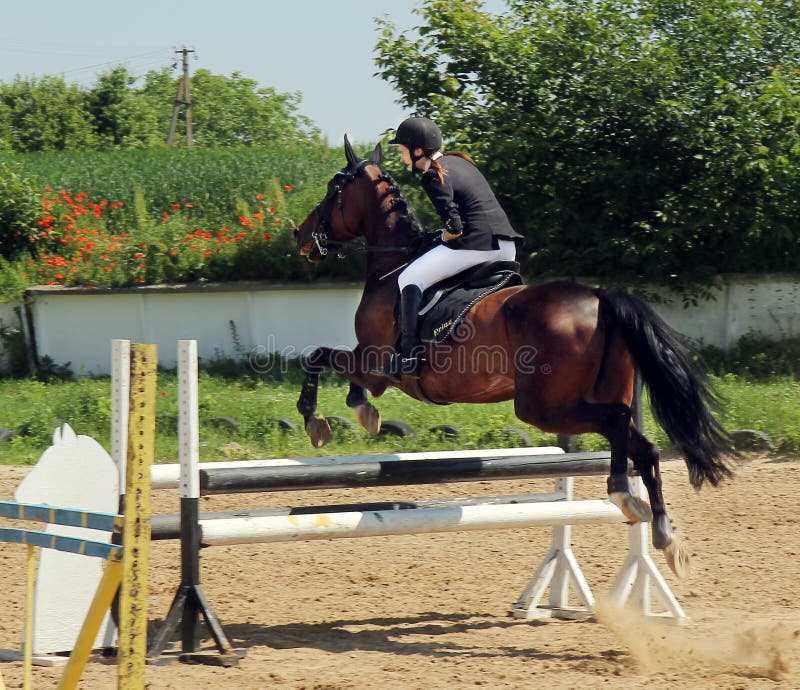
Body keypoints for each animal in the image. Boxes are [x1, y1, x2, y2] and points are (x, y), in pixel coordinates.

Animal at [292, 136, 735, 577]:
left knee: (616, 424)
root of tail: (598, 297)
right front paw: (362, 411)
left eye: (333, 189)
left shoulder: (377, 366)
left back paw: (622, 494)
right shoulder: (369, 363)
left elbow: (318, 357)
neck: (394, 264)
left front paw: (319, 420)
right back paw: (664, 534)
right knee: (644, 447)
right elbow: (336, 367)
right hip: (591, 394)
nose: (301, 237)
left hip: (542, 406)